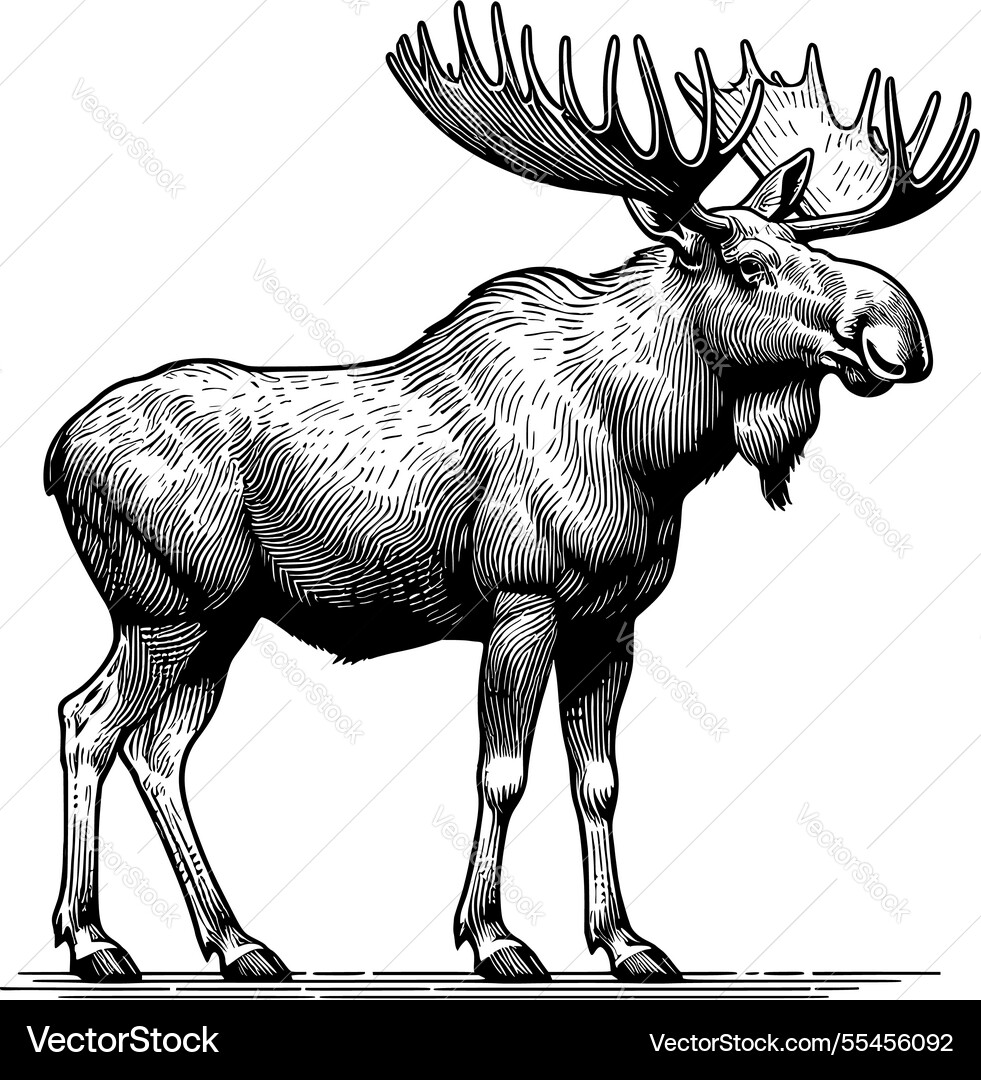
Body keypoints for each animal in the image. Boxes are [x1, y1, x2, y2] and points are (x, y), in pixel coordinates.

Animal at [45, 4, 976, 983]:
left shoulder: (611, 620)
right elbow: (502, 773)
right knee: (90, 723)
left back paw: (235, 941)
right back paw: (94, 939)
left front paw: (625, 940)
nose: (899, 332)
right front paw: (493, 936)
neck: (649, 448)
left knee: (157, 750)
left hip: (222, 618)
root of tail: (55, 454)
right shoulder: (520, 602)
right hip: (167, 608)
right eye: (749, 264)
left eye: (807, 245)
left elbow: (598, 782)